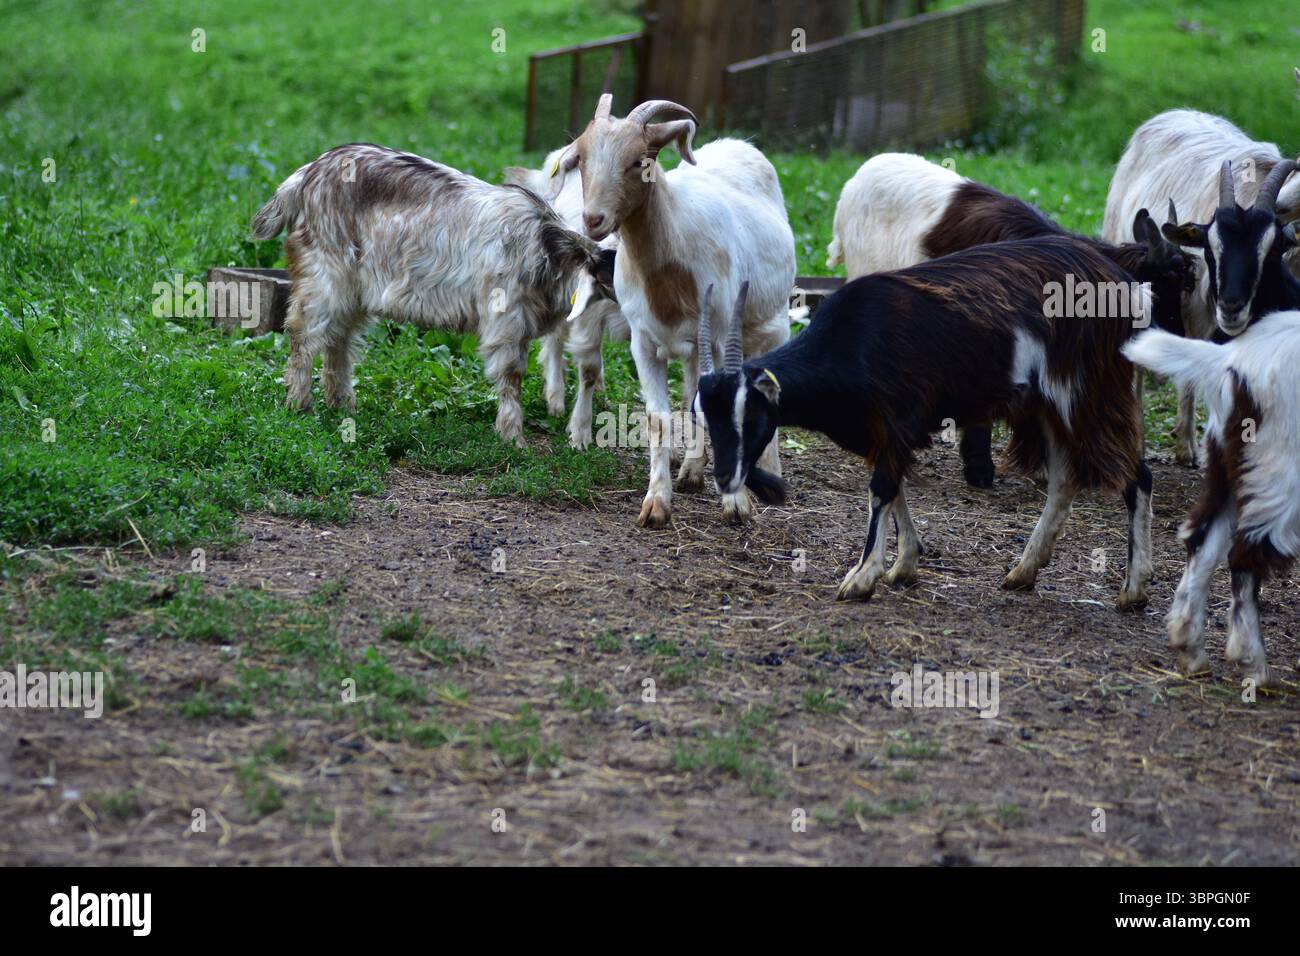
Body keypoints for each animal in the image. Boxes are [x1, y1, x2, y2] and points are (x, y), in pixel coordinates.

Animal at [251, 143, 609, 445]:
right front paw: (513, 437)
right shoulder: (506, 316)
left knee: (339, 340)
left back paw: (342, 404)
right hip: (325, 275)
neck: (546, 245)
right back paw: (300, 404)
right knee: (306, 335)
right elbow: (512, 376)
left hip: (354, 290)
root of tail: (303, 177)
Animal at [547, 95, 797, 528]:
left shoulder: (720, 336)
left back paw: (767, 470)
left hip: (771, 321)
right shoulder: (645, 342)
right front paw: (657, 502)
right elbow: (658, 419)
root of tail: (738, 144)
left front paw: (736, 504)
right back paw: (692, 473)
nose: (593, 219)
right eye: (581, 158)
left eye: (638, 160)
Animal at [695, 237, 1154, 608]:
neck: (850, 344)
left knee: (1137, 476)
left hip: (1089, 393)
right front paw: (904, 563)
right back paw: (1023, 572)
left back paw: (1133, 591)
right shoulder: (880, 433)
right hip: (1049, 407)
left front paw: (861, 578)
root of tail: (1121, 281)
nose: (725, 477)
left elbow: (881, 489)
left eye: (751, 412)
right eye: (705, 413)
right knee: (1063, 482)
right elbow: (894, 488)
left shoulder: (897, 420)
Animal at [1124, 310, 1300, 687]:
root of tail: (1231, 362)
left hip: (1231, 469)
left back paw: (1190, 648)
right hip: (1279, 478)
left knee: (1202, 541)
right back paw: (1253, 664)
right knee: (1245, 556)